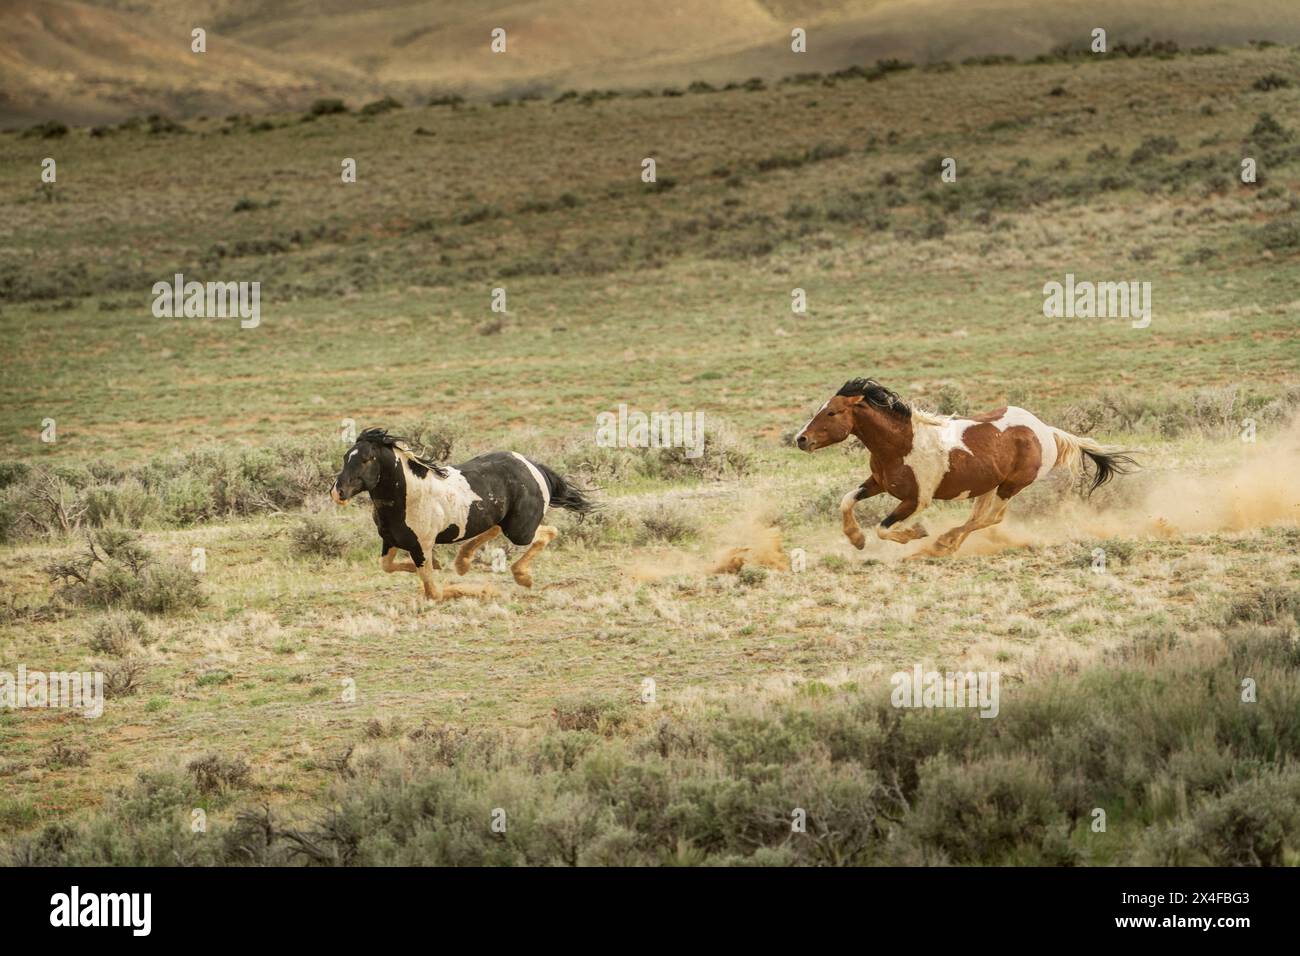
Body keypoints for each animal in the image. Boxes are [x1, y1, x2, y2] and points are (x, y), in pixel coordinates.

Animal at [330, 428, 593, 599]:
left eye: (367, 459)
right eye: (345, 457)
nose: (338, 492)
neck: (409, 497)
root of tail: (533, 465)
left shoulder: (421, 546)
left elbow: (434, 593)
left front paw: (477, 590)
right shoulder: (391, 541)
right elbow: (386, 565)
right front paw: (439, 564)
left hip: (520, 531)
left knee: (548, 531)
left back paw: (523, 578)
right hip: (503, 521)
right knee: (494, 528)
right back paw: (463, 562)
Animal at [794, 379, 1136, 558]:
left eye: (832, 412)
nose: (801, 439)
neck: (901, 444)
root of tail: (1046, 431)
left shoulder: (916, 500)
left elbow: (884, 527)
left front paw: (917, 533)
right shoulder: (878, 482)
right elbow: (847, 500)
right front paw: (856, 539)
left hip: (1010, 486)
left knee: (990, 518)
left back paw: (941, 543)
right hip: (987, 486)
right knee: (978, 517)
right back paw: (947, 545)